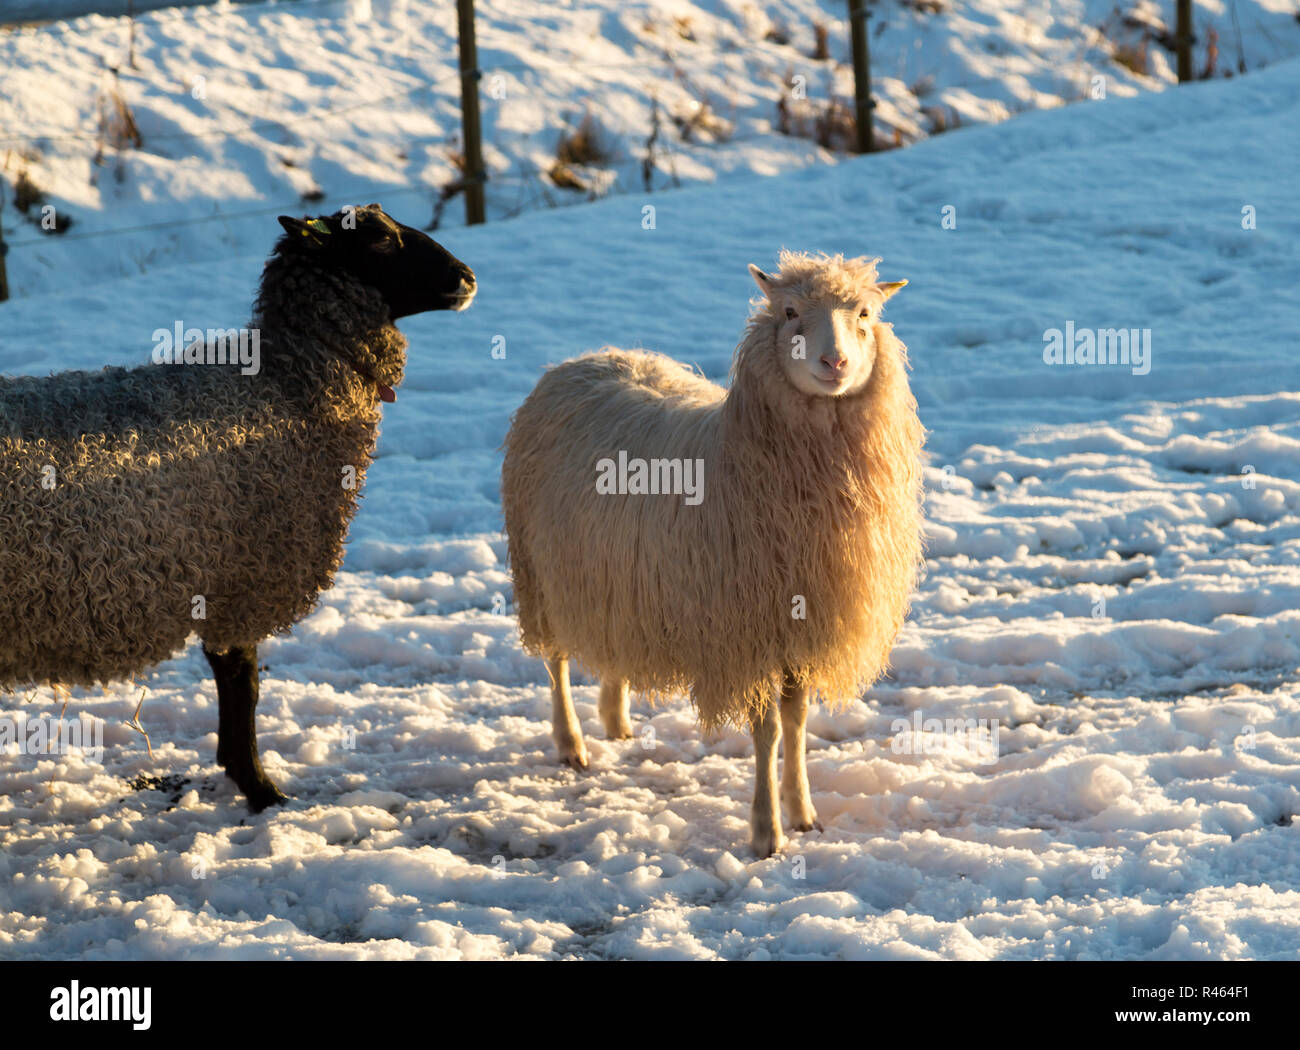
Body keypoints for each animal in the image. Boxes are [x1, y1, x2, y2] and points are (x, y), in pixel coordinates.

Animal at [0, 203, 476, 811]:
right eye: (379, 241)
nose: (466, 277)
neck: (284, 386)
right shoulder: (242, 576)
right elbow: (243, 684)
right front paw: (259, 788)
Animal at [501, 251, 923, 857]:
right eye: (788, 311)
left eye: (865, 313)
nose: (835, 361)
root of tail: (581, 359)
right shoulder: (745, 630)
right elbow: (767, 731)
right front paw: (766, 831)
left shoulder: (798, 622)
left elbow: (797, 721)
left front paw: (803, 812)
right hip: (542, 570)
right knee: (556, 660)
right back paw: (570, 744)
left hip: (617, 581)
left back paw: (616, 719)